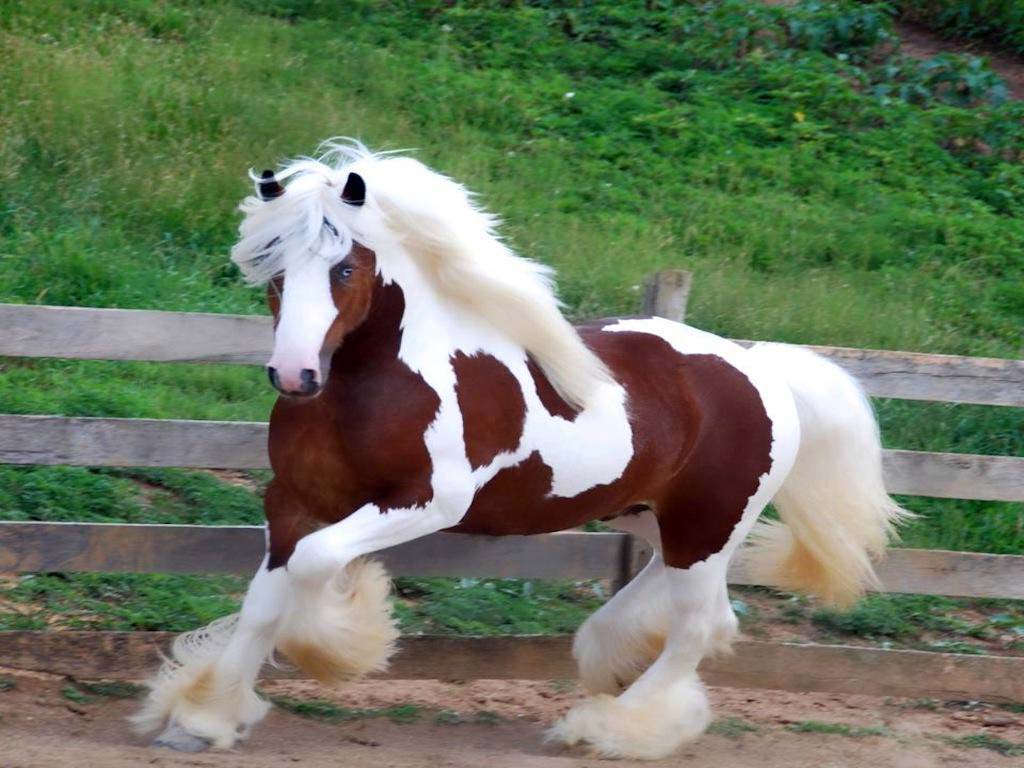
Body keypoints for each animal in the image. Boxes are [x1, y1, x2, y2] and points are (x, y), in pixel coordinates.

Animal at [133, 141, 907, 760]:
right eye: (272, 266)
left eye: (345, 269)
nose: (294, 376)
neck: (377, 386)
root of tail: (760, 368)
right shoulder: (293, 501)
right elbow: (265, 599)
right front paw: (202, 720)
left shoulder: (426, 503)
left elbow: (317, 567)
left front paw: (339, 640)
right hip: (657, 520)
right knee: (704, 615)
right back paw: (611, 668)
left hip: (708, 526)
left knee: (695, 628)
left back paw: (608, 728)